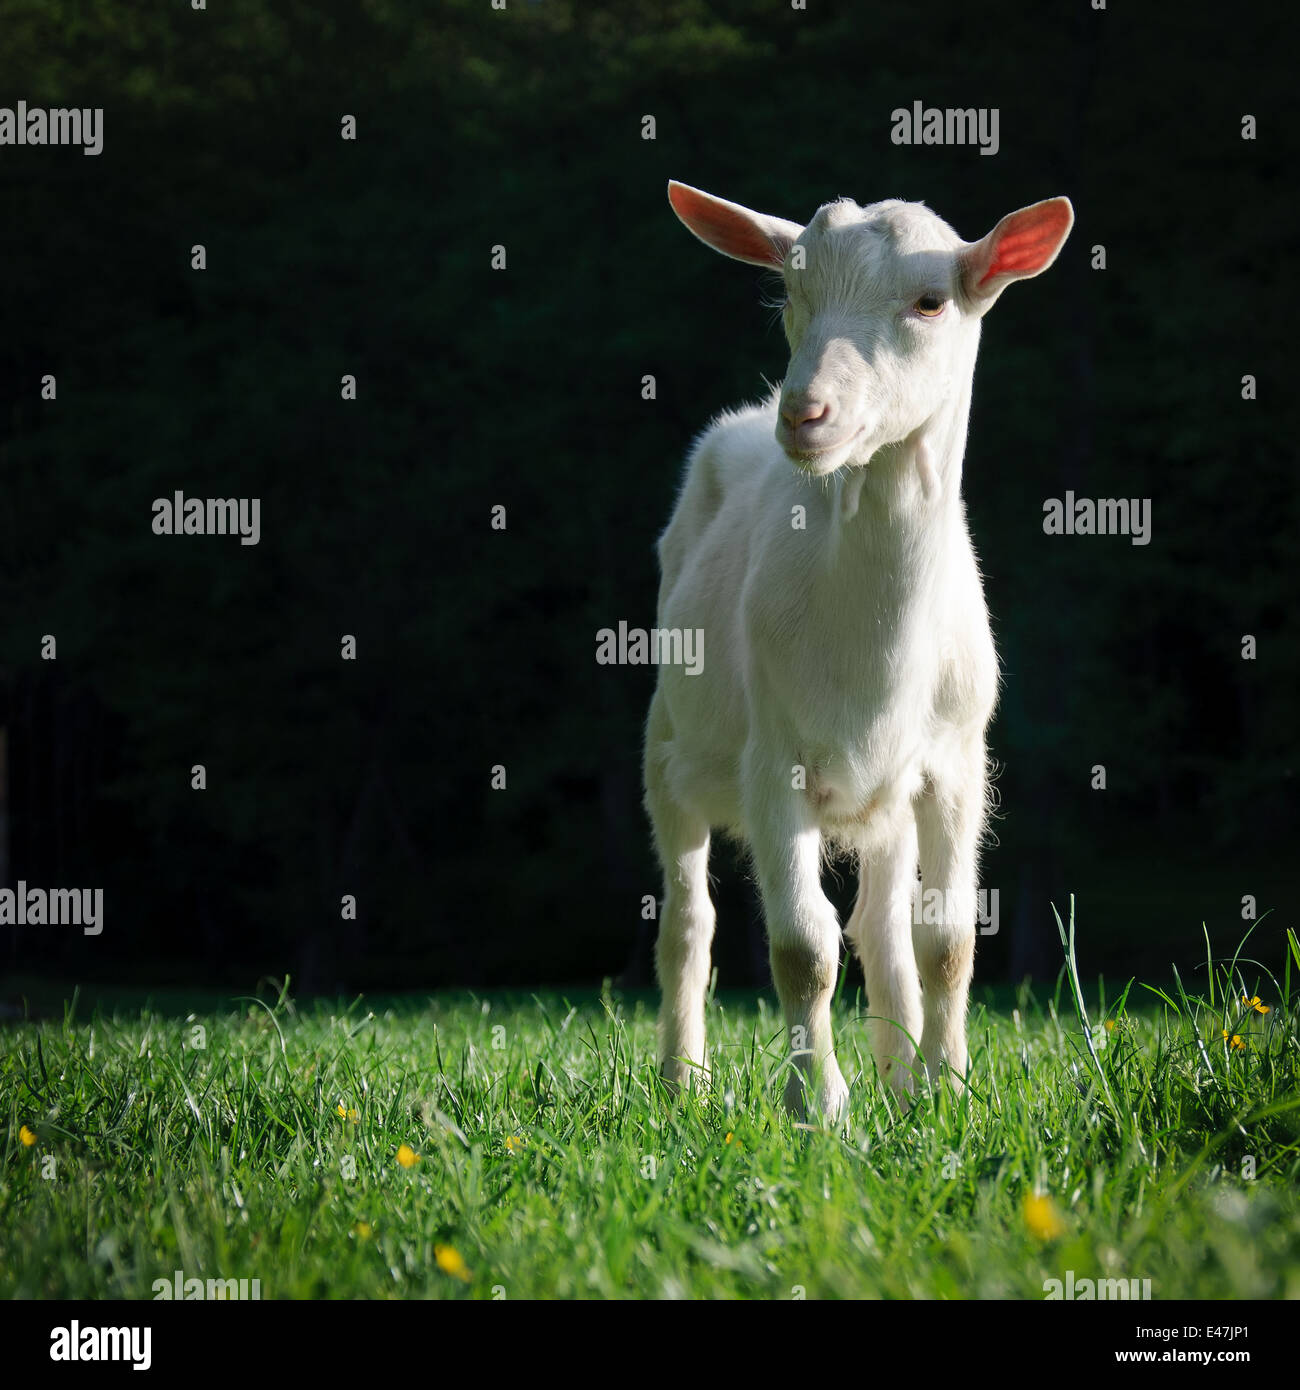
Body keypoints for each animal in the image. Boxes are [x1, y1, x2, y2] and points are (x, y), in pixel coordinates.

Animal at [644, 181, 1073, 1121]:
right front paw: (819, 1106)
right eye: (789, 293)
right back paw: (683, 1080)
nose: (804, 412)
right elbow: (802, 947)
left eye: (931, 300)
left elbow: (944, 939)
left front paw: (947, 1089)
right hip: (667, 749)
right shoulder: (775, 762)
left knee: (881, 925)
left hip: (888, 801)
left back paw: (902, 1079)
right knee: (688, 923)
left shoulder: (954, 761)